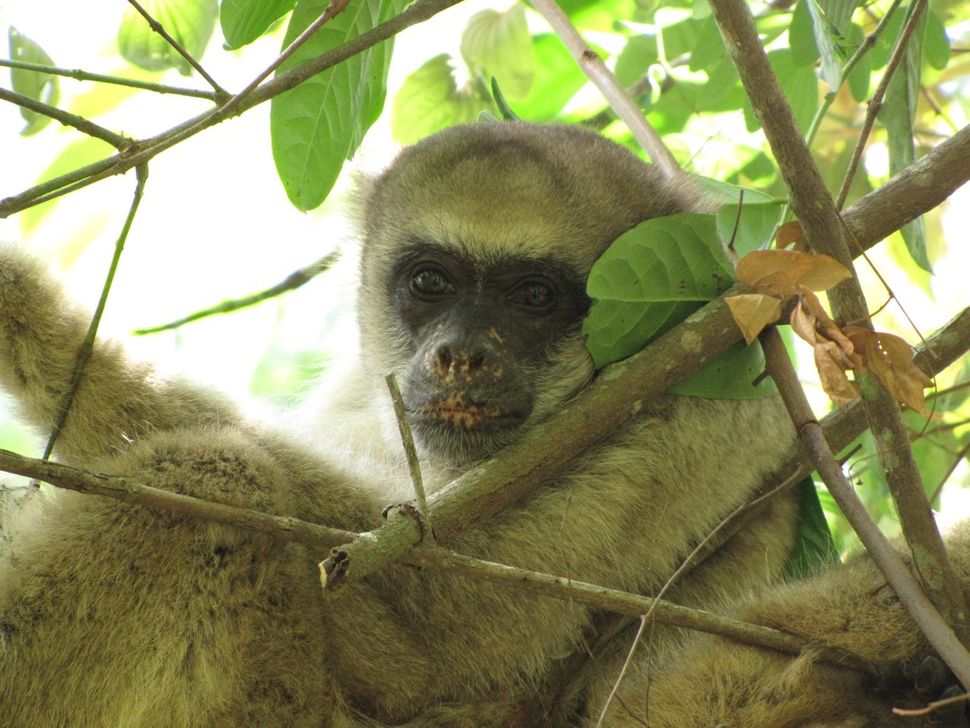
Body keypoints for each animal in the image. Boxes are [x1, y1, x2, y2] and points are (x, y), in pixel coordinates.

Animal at [0, 120, 946, 727]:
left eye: (533, 298)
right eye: (431, 282)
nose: (460, 356)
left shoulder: (720, 405)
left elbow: (443, 615)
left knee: (210, 483)